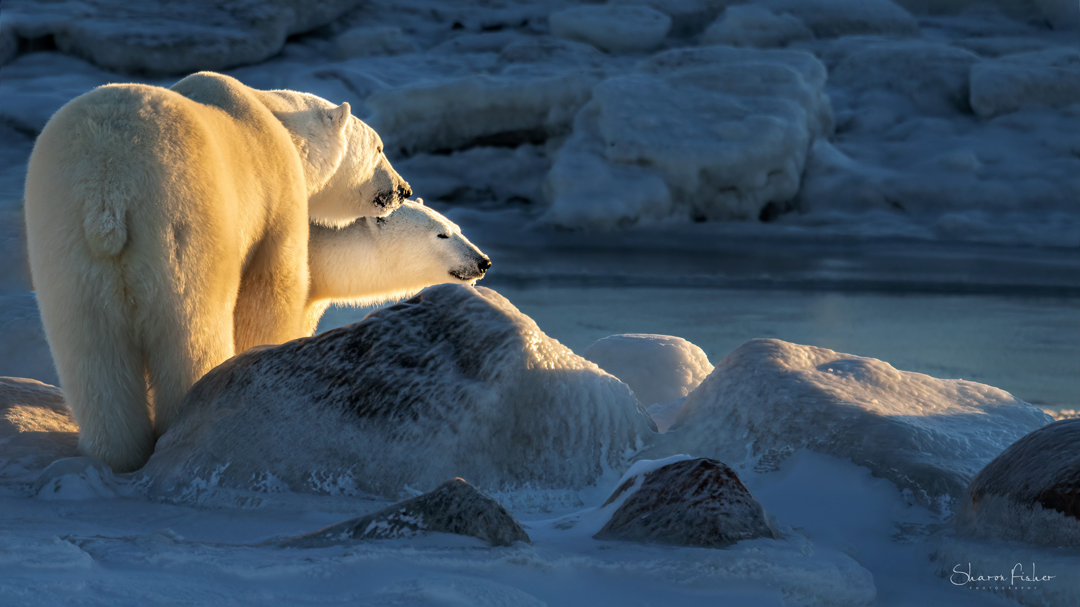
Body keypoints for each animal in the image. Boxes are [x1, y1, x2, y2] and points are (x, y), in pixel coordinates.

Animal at [24, 73, 409, 472]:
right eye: (379, 148)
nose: (403, 190)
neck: (278, 122)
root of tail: (109, 187)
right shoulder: (276, 197)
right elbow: (270, 290)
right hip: (184, 224)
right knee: (191, 329)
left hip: (64, 239)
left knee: (90, 350)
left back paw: (116, 455)